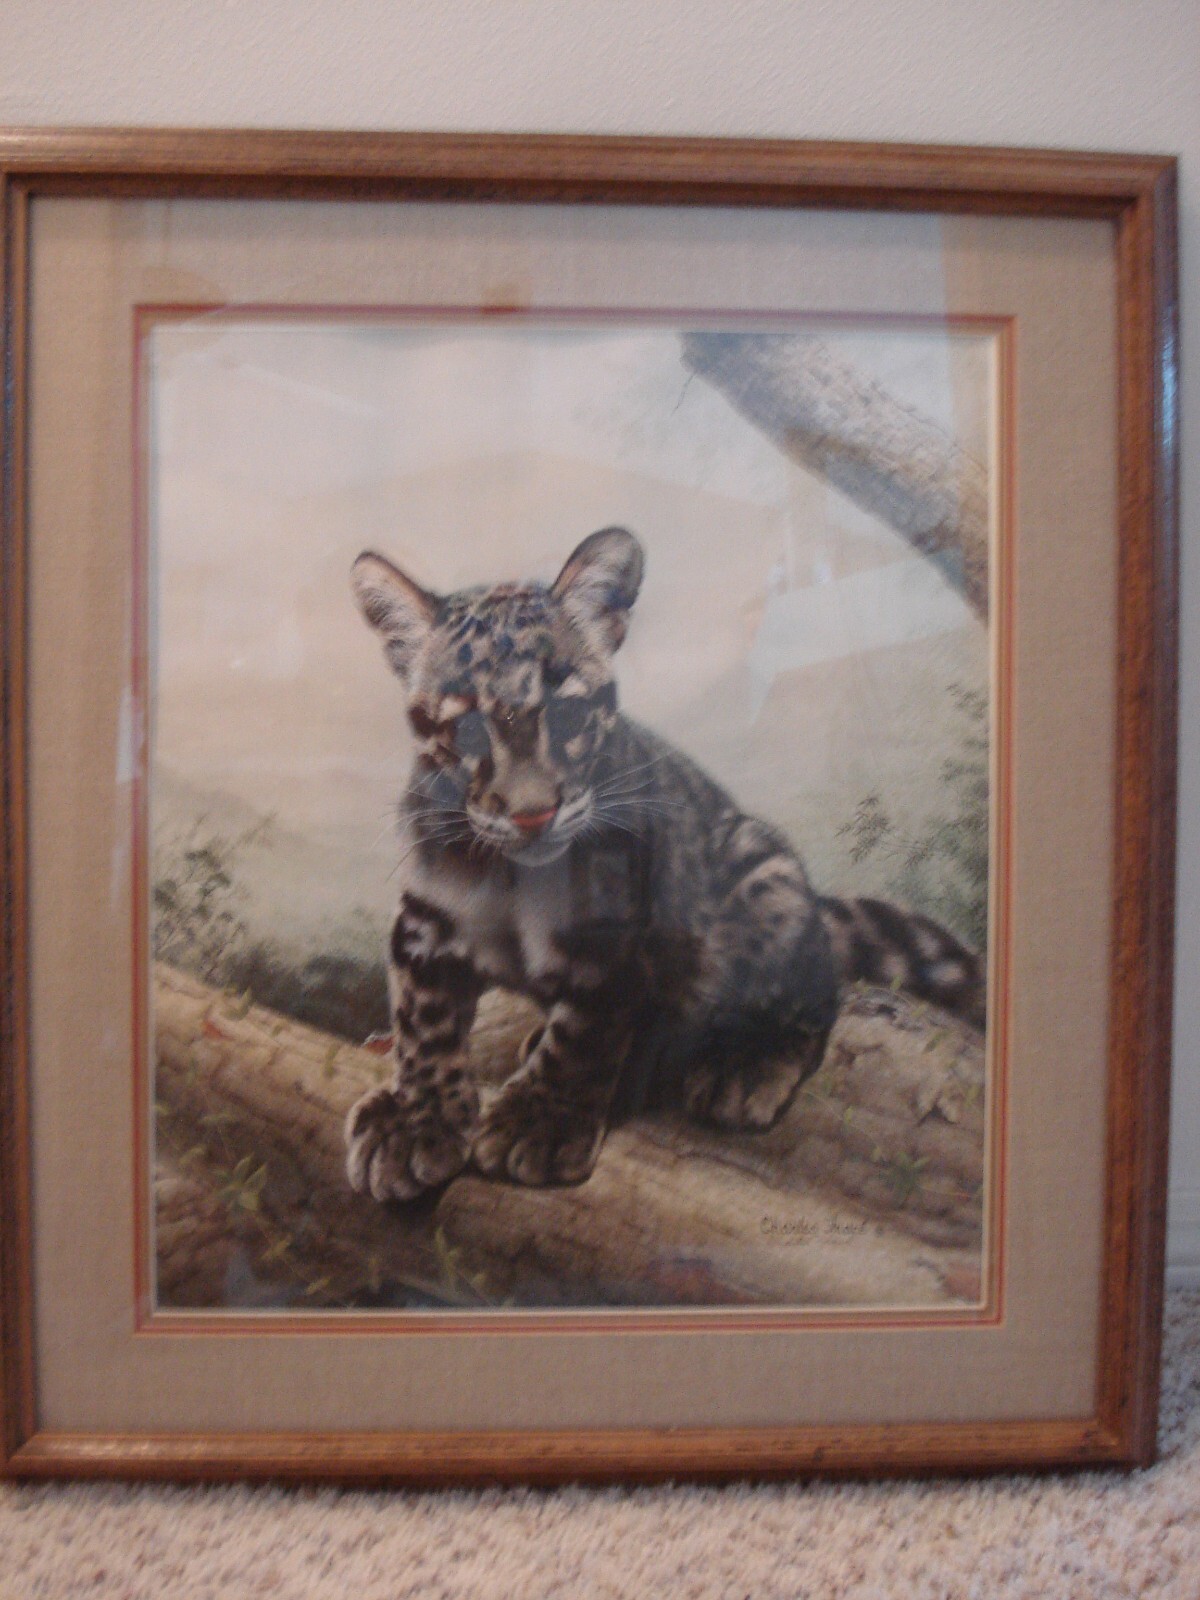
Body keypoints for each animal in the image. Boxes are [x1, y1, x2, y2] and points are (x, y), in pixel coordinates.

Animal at [345, 525, 984, 1200]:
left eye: (567, 713)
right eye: (466, 728)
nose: (532, 814)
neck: (512, 878)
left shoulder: (615, 938)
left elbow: (582, 1036)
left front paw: (537, 1124)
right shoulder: (423, 924)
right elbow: (423, 1025)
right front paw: (414, 1121)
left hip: (766, 880)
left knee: (813, 995)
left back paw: (745, 1067)